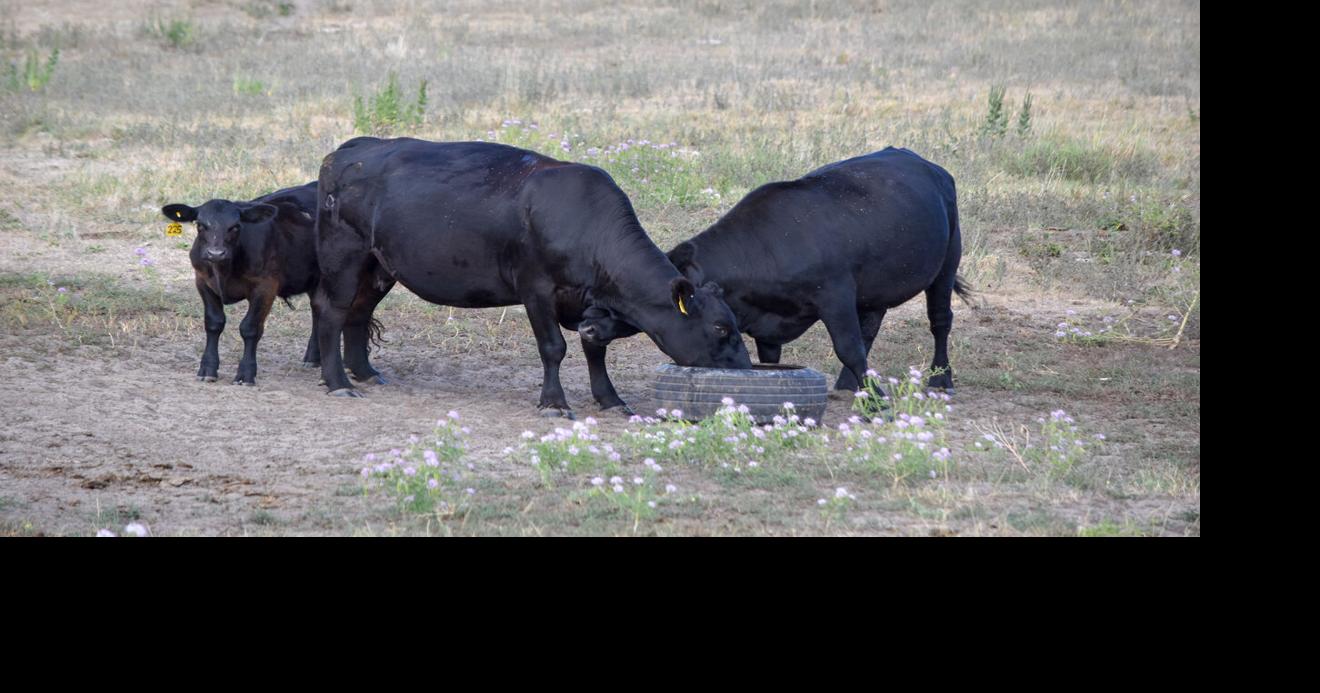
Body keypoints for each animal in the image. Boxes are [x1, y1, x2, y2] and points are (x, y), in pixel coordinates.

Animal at [161, 181, 377, 386]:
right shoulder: (203, 282)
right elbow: (214, 323)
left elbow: (250, 328)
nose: (215, 253)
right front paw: (207, 369)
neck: (225, 270)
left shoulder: (265, 287)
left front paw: (246, 374)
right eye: (200, 225)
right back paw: (313, 358)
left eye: (235, 226)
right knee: (317, 310)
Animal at [311, 137, 752, 416]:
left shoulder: (586, 304)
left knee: (358, 312)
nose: (746, 370)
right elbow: (553, 348)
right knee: (332, 310)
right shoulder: (535, 288)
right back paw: (339, 382)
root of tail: (353, 147)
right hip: (343, 252)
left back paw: (365, 373)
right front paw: (554, 403)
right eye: (719, 328)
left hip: (380, 266)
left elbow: (595, 348)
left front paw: (610, 399)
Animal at [578, 147, 971, 395]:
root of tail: (926, 164)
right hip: (874, 291)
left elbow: (849, 347)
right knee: (871, 326)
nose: (587, 325)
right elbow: (772, 359)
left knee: (940, 321)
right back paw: (847, 383)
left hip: (946, 264)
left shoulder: (836, 296)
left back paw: (942, 380)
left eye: (624, 299)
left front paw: (877, 401)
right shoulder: (768, 324)